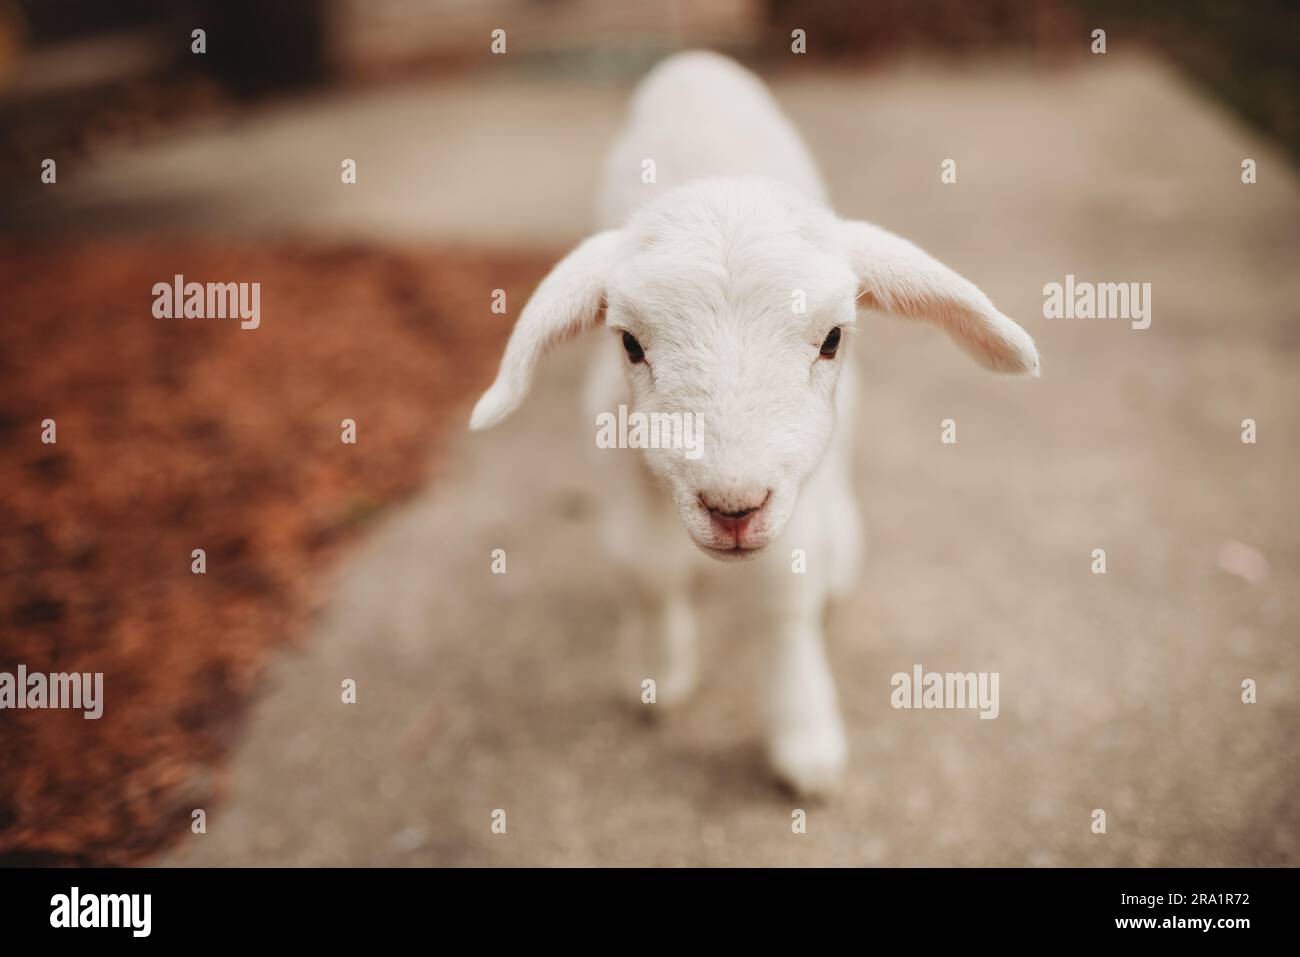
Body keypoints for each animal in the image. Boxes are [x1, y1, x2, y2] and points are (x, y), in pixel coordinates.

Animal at [469, 51, 1039, 796]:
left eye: (832, 338)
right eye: (630, 343)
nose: (732, 508)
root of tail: (696, 62)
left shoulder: (802, 473)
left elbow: (787, 592)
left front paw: (804, 738)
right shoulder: (615, 452)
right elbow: (646, 569)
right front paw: (658, 672)